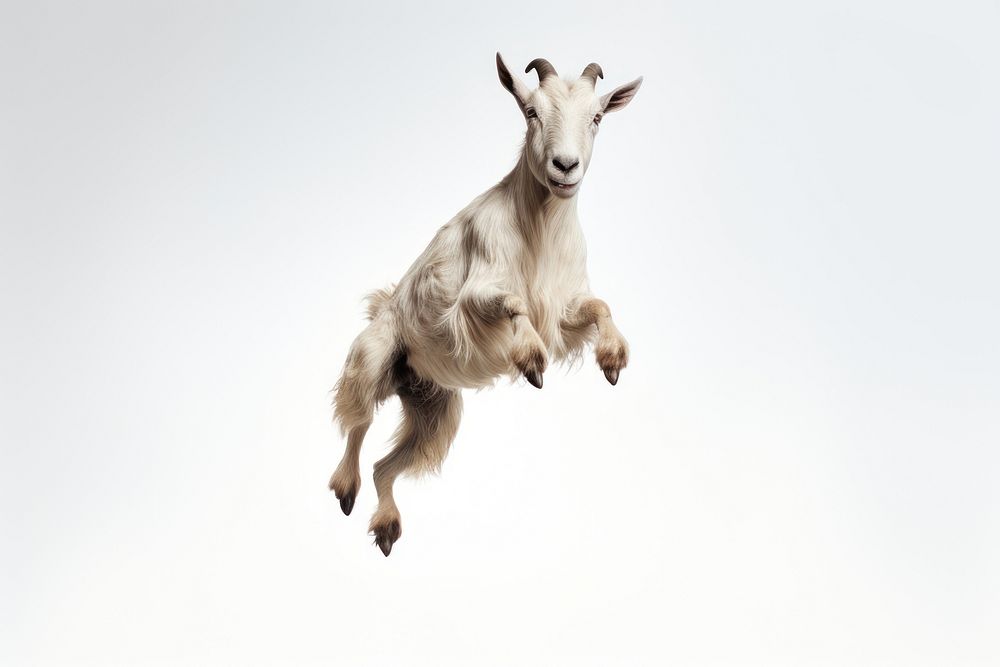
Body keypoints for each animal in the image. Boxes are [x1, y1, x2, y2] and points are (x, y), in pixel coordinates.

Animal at [329, 54, 642, 556]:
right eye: (531, 111)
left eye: (597, 117)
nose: (565, 166)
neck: (538, 228)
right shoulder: (474, 294)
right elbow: (512, 302)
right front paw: (531, 360)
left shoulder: (563, 308)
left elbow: (600, 307)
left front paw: (612, 359)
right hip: (375, 355)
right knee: (356, 421)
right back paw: (344, 489)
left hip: (434, 409)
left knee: (386, 465)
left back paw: (387, 527)